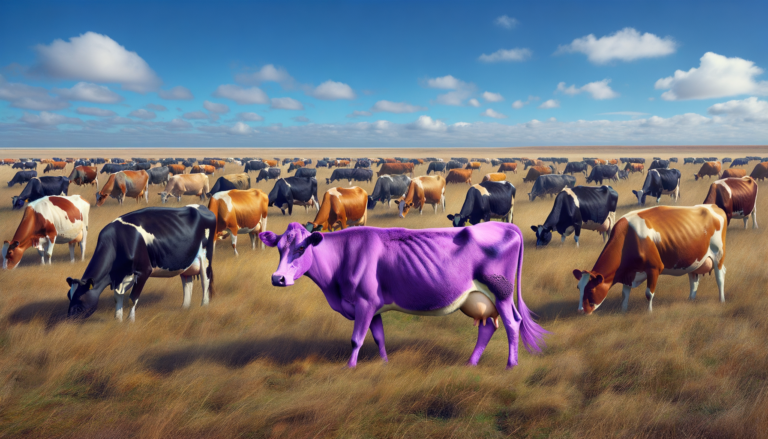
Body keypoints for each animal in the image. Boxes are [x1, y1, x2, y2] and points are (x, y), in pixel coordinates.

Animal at [66, 205, 216, 321]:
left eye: (79, 300)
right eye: (69, 295)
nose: (69, 319)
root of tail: (202, 207)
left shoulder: (144, 271)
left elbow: (132, 298)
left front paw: (130, 320)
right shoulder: (121, 277)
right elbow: (117, 297)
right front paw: (118, 319)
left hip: (206, 257)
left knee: (205, 280)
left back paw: (204, 305)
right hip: (186, 263)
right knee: (187, 283)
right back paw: (185, 307)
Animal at [259, 221, 546, 369]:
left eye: (300, 249)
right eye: (279, 248)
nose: (277, 278)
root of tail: (504, 224)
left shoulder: (364, 302)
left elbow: (356, 339)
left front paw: (350, 367)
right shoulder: (372, 306)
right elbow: (378, 336)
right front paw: (384, 363)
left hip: (501, 292)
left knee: (512, 324)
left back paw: (511, 365)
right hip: (479, 300)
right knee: (487, 328)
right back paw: (470, 363)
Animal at [573, 205, 727, 314]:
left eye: (590, 290)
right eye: (578, 287)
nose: (581, 310)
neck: (628, 237)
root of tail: (713, 206)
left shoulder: (654, 268)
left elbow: (649, 294)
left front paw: (649, 312)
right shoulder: (629, 272)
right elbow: (624, 293)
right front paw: (623, 310)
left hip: (718, 255)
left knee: (720, 278)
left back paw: (722, 300)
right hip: (694, 260)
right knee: (694, 281)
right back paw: (691, 299)